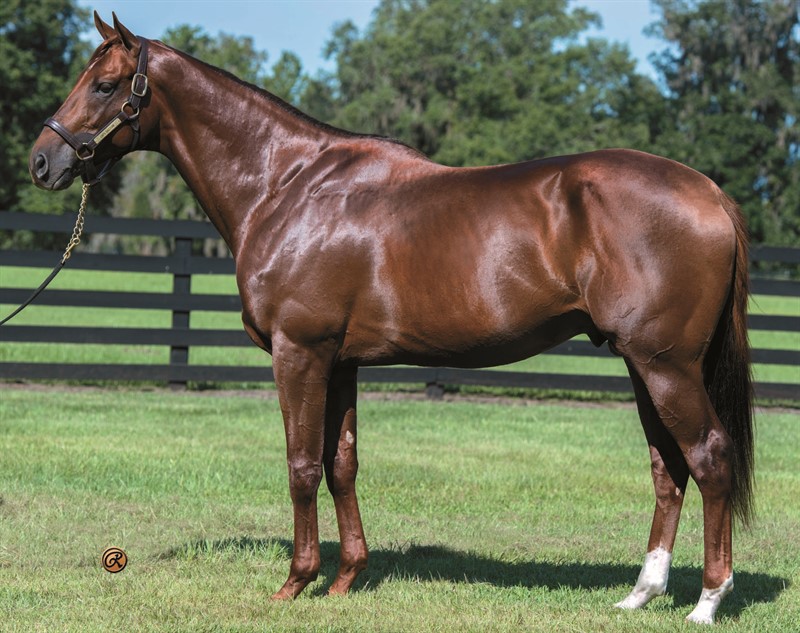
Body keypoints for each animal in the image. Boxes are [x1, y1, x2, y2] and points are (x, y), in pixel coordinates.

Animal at [29, 14, 754, 624]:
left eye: (105, 84)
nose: (43, 160)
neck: (287, 186)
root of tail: (712, 193)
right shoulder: (341, 360)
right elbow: (342, 463)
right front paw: (347, 577)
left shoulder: (299, 352)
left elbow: (302, 463)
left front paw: (295, 582)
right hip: (641, 363)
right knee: (668, 467)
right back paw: (640, 593)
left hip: (666, 365)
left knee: (709, 457)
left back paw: (707, 601)